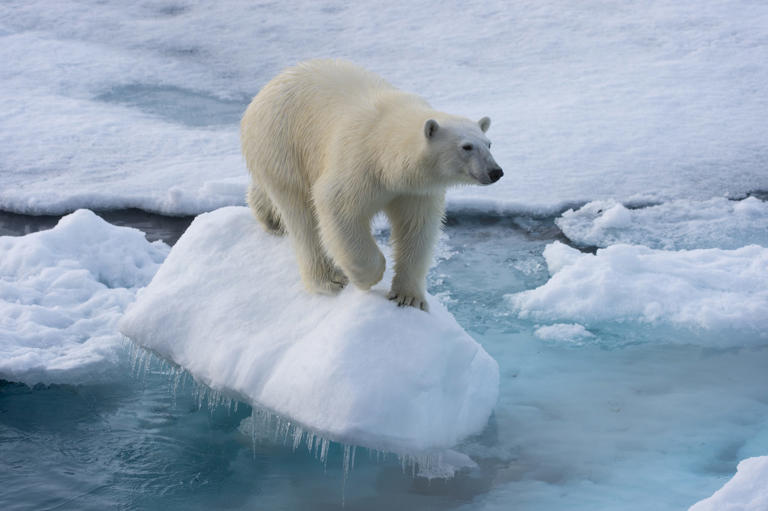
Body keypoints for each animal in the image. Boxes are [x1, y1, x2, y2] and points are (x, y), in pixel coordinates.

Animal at [241, 59, 502, 311]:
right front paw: (368, 277)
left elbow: (417, 229)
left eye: (489, 144)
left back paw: (269, 218)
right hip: (283, 145)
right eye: (466, 147)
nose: (495, 172)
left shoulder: (415, 190)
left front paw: (409, 297)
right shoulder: (358, 163)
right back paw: (329, 280)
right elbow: (337, 208)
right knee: (301, 216)